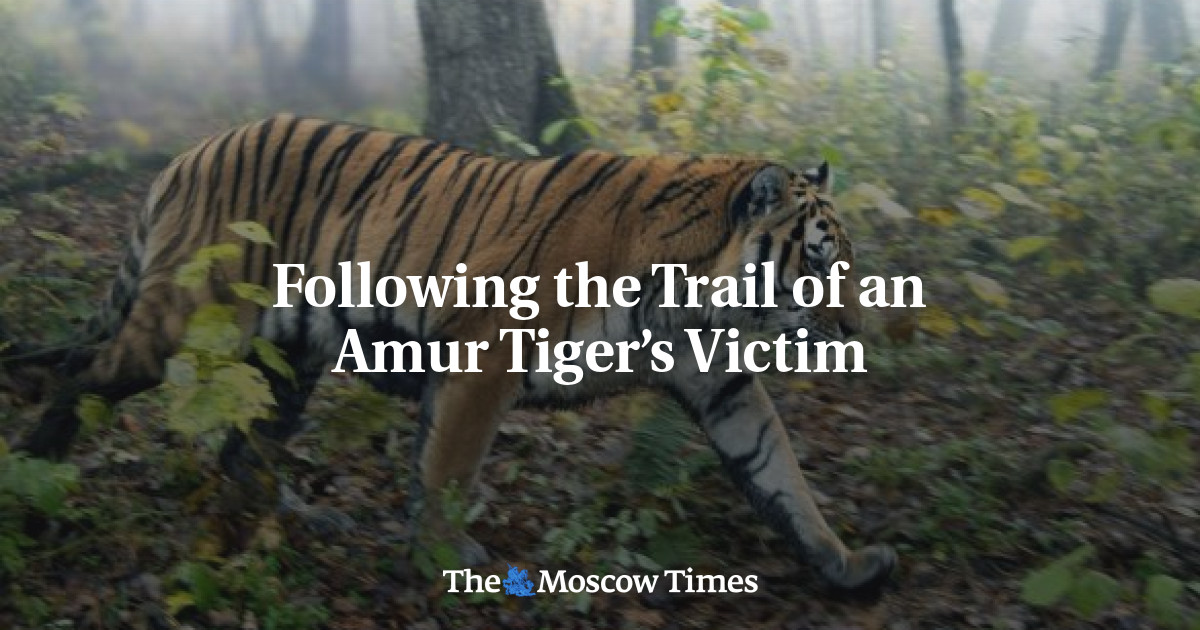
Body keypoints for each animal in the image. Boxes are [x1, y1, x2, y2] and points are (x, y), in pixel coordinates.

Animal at [12, 113, 896, 593]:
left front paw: (845, 563)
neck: (693, 296)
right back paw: (31, 486)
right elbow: (451, 464)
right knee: (82, 376)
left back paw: (301, 513)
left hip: (290, 357)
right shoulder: (487, 351)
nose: (859, 329)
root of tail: (189, 153)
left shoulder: (722, 383)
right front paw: (446, 557)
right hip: (184, 318)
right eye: (820, 262)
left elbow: (780, 474)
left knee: (246, 442)